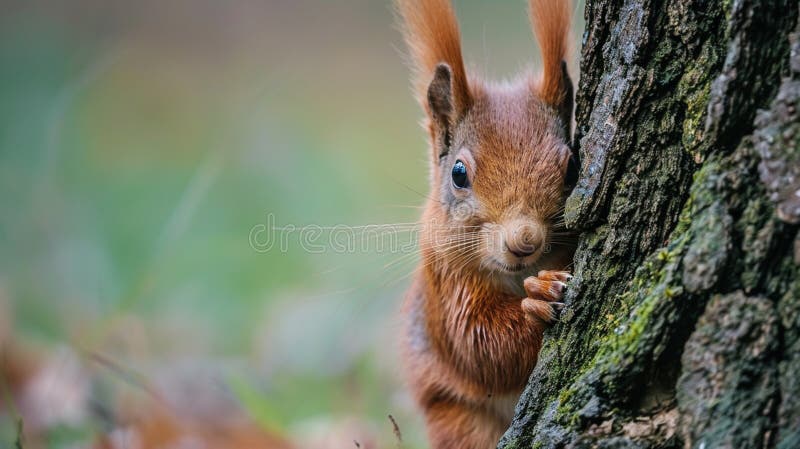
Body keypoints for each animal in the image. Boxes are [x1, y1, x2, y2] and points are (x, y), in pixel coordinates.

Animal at [395, 0, 577, 447]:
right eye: (459, 173)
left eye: (572, 168)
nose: (524, 242)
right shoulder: (446, 281)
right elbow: (478, 345)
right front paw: (538, 302)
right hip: (459, 420)